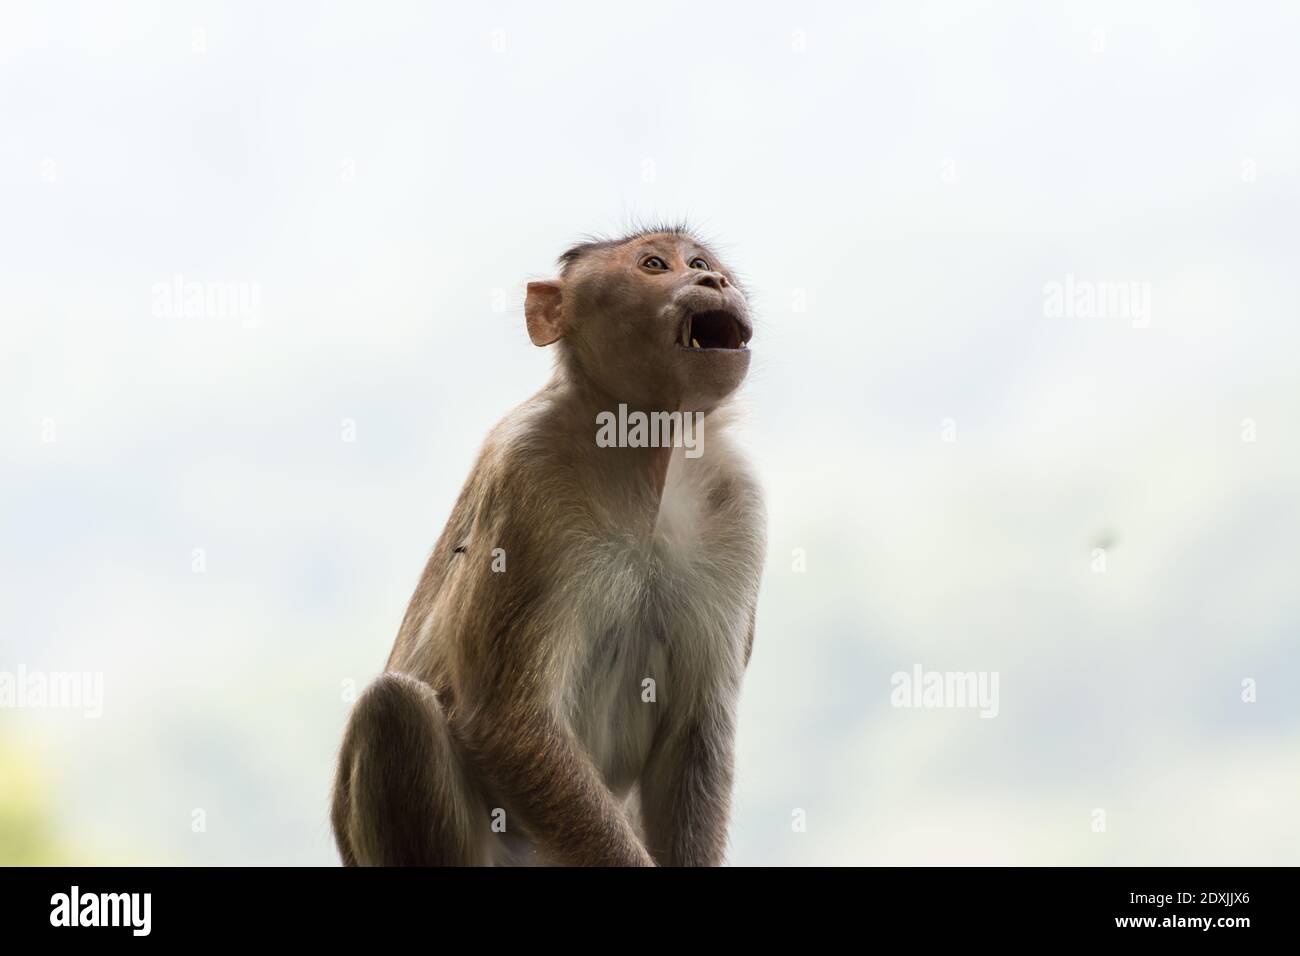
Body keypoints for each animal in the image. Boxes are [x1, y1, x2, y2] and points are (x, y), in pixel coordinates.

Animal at [330, 226, 765, 866]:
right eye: (654, 264)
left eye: (702, 263)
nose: (714, 281)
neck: (642, 453)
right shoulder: (528, 473)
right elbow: (509, 721)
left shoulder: (738, 502)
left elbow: (697, 732)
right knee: (395, 709)